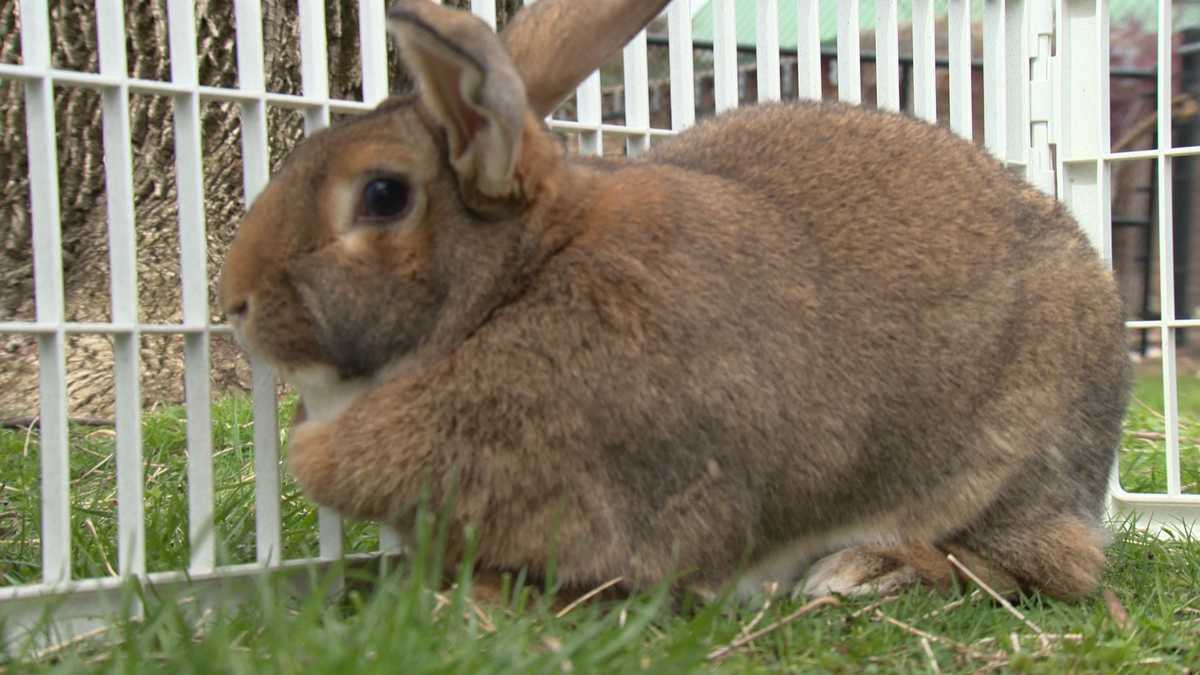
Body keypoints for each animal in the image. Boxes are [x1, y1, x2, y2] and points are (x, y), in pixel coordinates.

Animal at [218, 0, 1130, 602]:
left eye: (382, 195)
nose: (233, 301)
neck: (515, 286)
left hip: (1007, 469)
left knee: (1045, 566)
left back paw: (860, 571)